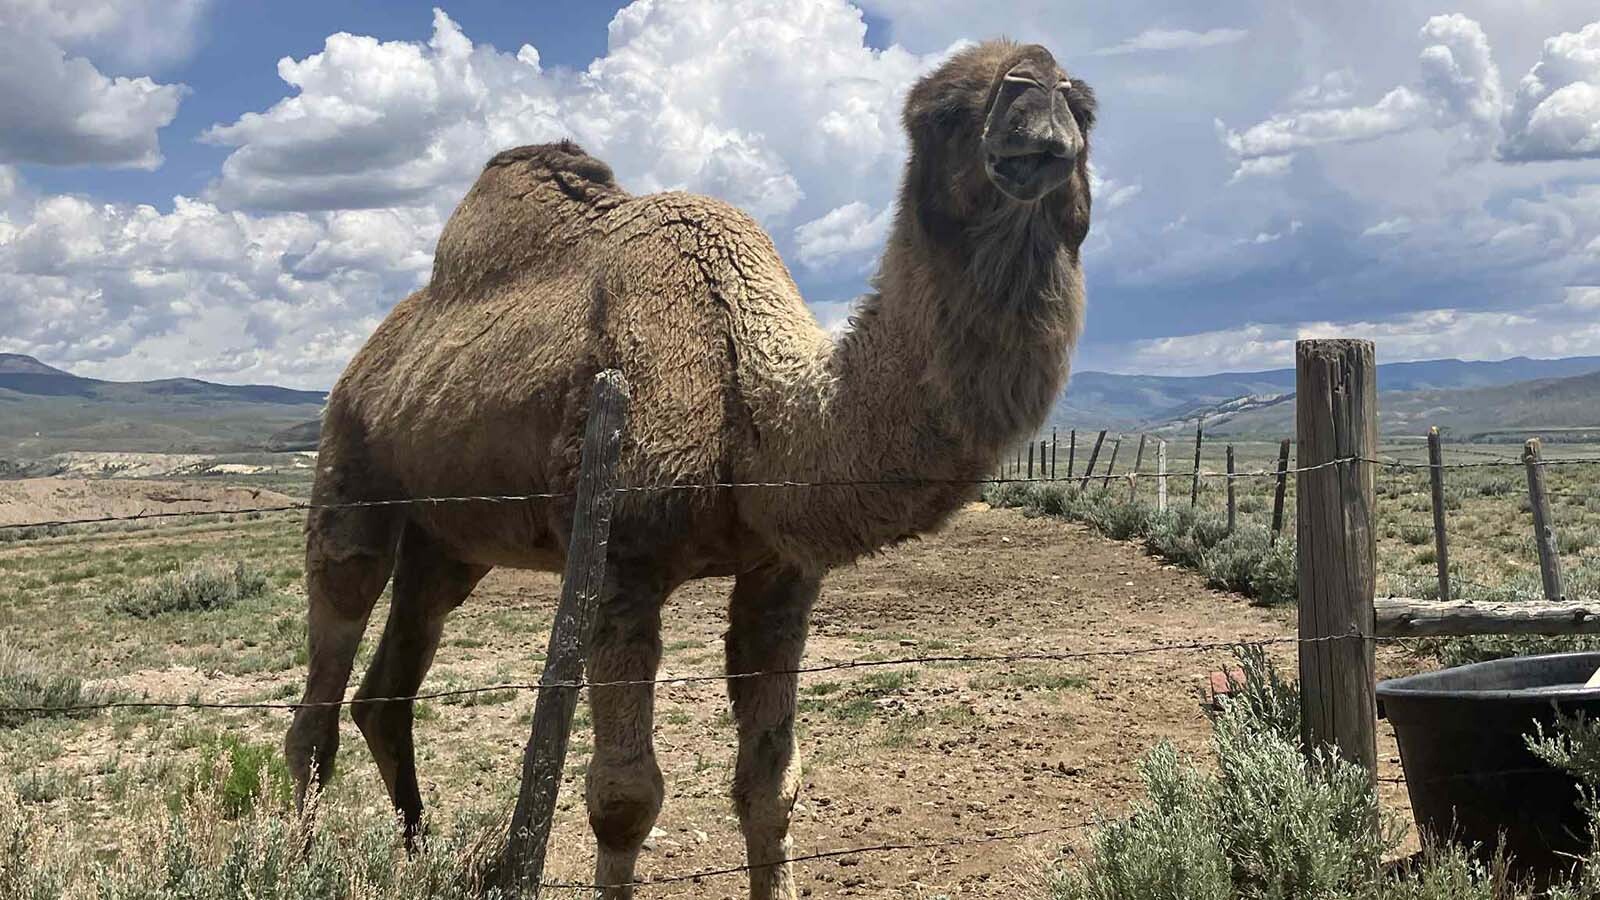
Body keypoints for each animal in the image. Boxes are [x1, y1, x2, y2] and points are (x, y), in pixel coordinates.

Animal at [285, 39, 1095, 900]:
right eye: (941, 113)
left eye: (1084, 105)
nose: (1038, 97)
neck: (750, 407)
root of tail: (367, 358)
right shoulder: (619, 563)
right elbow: (624, 800)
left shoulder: (782, 575)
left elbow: (772, 785)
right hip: (351, 463)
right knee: (326, 668)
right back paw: (299, 861)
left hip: (449, 539)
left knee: (389, 685)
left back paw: (417, 850)